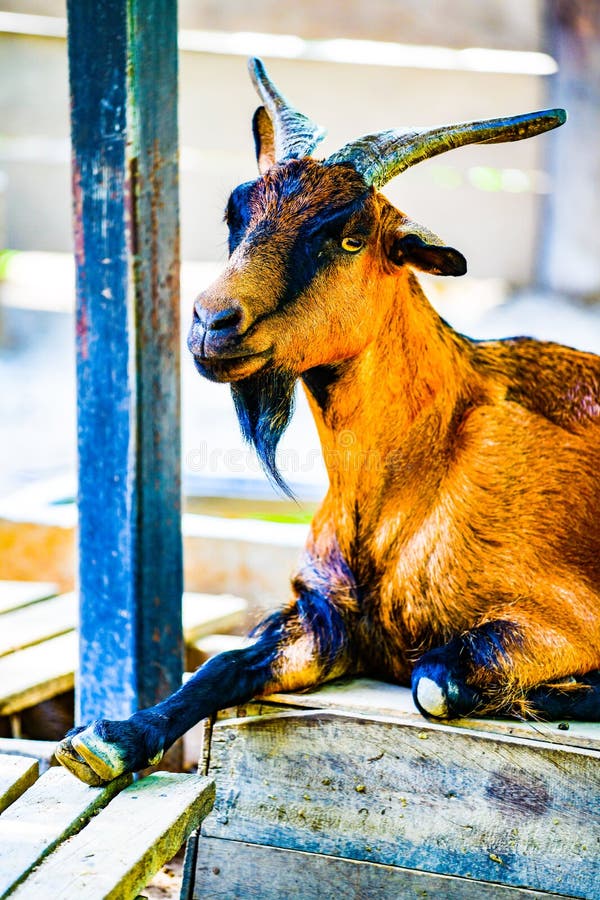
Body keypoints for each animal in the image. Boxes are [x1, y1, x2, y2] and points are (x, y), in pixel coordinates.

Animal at [57, 58, 600, 785]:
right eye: (237, 215)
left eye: (349, 236)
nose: (211, 322)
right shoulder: (325, 617)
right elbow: (225, 661)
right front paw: (109, 737)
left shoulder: (559, 620)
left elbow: (436, 680)